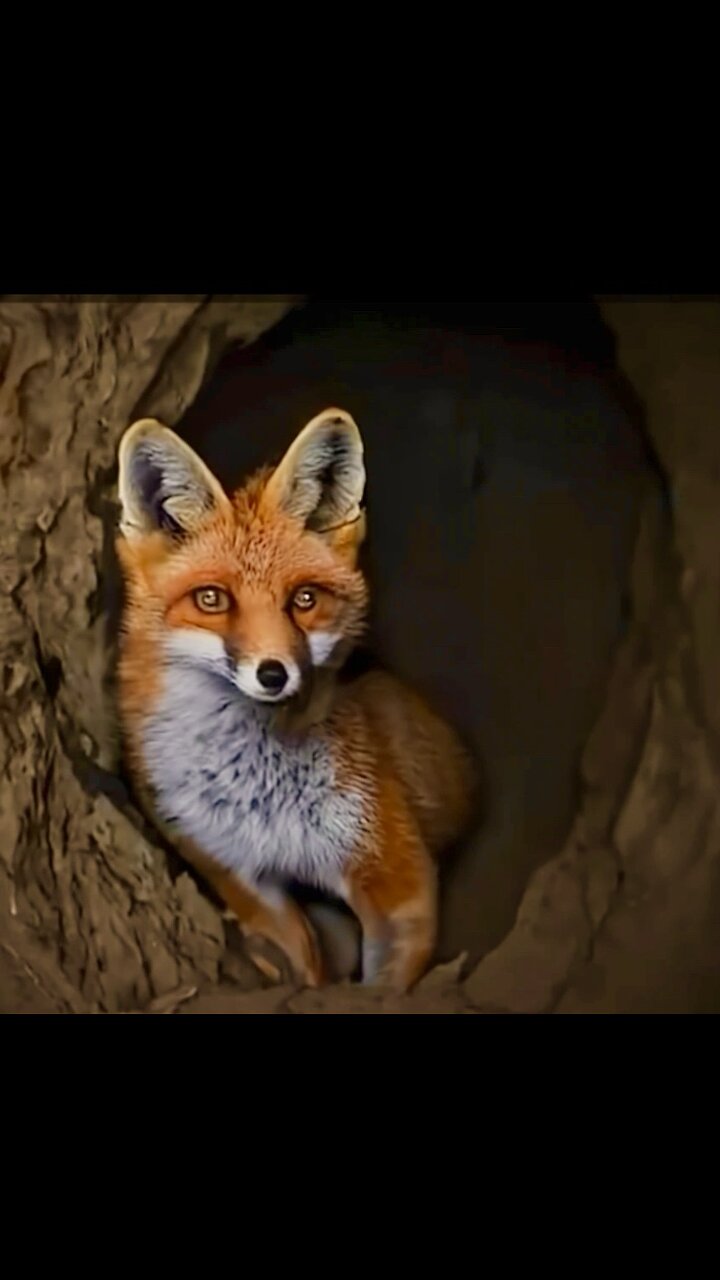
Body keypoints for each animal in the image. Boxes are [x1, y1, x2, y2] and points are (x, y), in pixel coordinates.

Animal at [115, 407, 477, 991]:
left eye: (303, 599)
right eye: (212, 600)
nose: (272, 673)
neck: (260, 795)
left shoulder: (395, 870)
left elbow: (383, 988)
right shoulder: (236, 875)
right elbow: (303, 971)